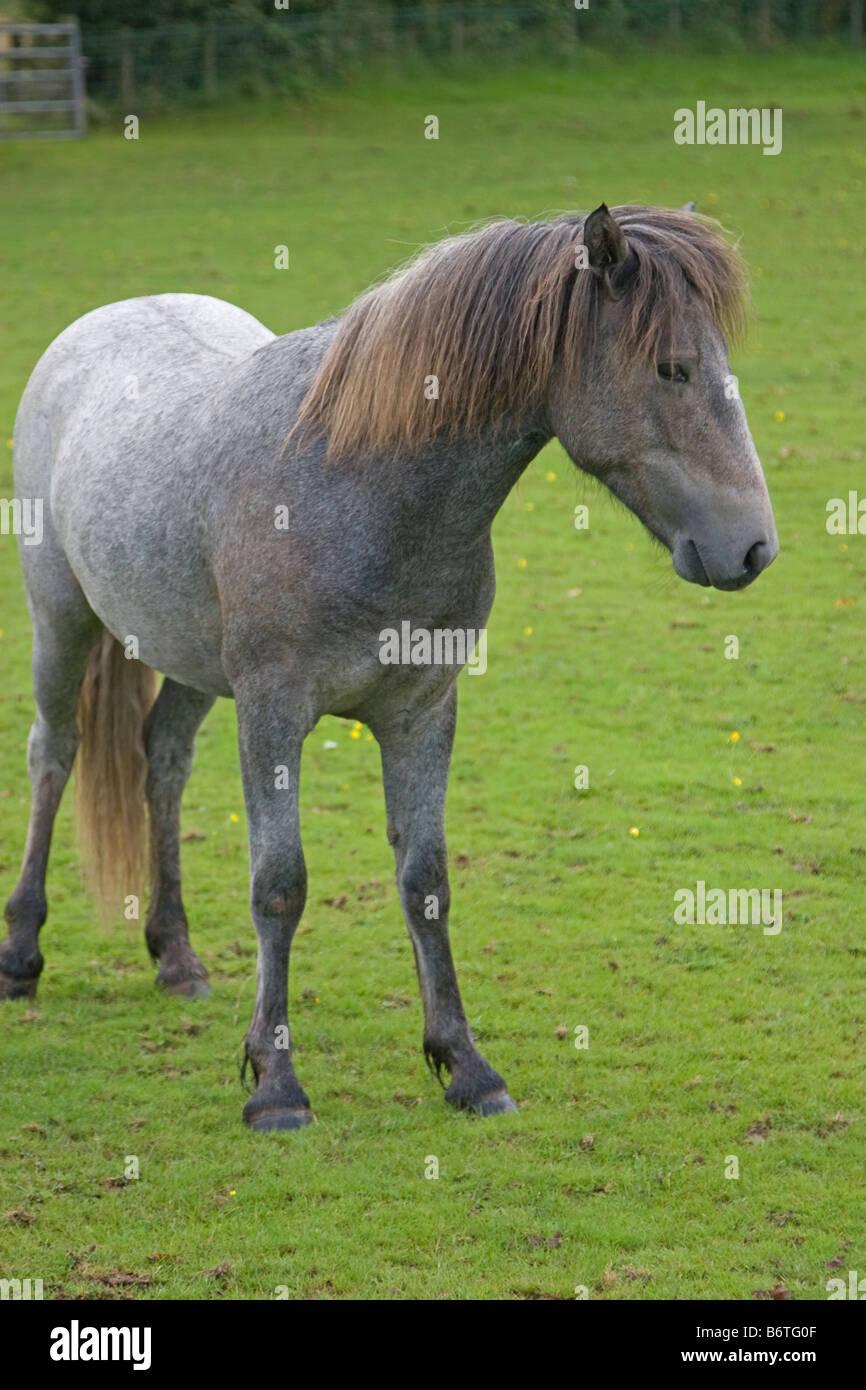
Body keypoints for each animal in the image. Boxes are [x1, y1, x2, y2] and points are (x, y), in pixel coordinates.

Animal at [1, 203, 778, 1130]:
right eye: (673, 368)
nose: (754, 548)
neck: (360, 484)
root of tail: (99, 322)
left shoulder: (421, 712)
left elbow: (425, 880)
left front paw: (467, 1066)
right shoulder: (273, 712)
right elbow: (280, 886)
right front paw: (275, 1083)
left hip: (185, 660)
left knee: (162, 762)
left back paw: (176, 956)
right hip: (61, 623)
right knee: (55, 755)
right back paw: (21, 954)